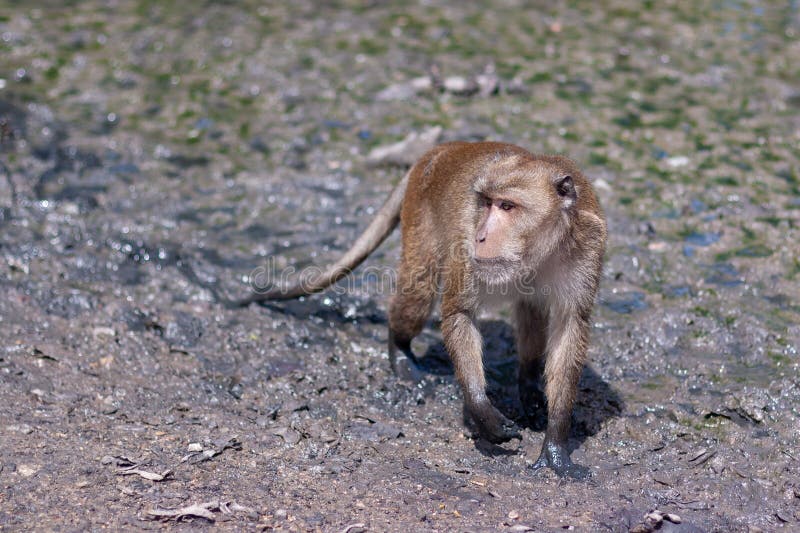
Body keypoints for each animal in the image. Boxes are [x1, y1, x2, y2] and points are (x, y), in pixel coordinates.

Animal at [227, 142, 607, 479]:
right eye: (486, 204)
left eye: (507, 206)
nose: (481, 236)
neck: (539, 250)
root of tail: (440, 149)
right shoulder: (465, 250)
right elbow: (458, 314)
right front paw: (482, 411)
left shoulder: (588, 247)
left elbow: (569, 327)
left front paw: (555, 443)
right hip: (420, 217)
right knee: (418, 292)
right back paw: (400, 349)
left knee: (530, 309)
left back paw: (526, 384)